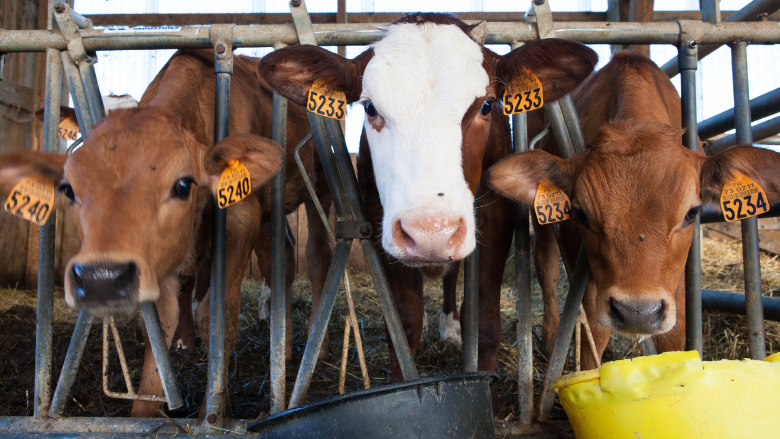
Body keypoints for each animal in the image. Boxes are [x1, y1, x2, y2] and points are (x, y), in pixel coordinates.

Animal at [0, 48, 335, 418]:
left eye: (183, 185)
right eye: (69, 190)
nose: (100, 279)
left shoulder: (241, 217)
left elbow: (219, 315)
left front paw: (214, 411)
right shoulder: (159, 254)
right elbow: (160, 322)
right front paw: (145, 411)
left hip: (321, 184)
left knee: (317, 256)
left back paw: (315, 349)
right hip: (270, 210)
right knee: (281, 259)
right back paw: (284, 347)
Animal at [258, 13, 597, 412]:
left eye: (487, 105)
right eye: (369, 107)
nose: (431, 232)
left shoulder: (496, 223)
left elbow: (485, 320)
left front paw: (493, 406)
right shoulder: (380, 223)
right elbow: (404, 325)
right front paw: (400, 391)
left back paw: (451, 327)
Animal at [489, 51, 780, 369]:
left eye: (692, 212)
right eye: (581, 214)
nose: (637, 313)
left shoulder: (675, 279)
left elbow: (673, 335)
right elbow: (595, 337)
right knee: (546, 265)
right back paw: (553, 336)